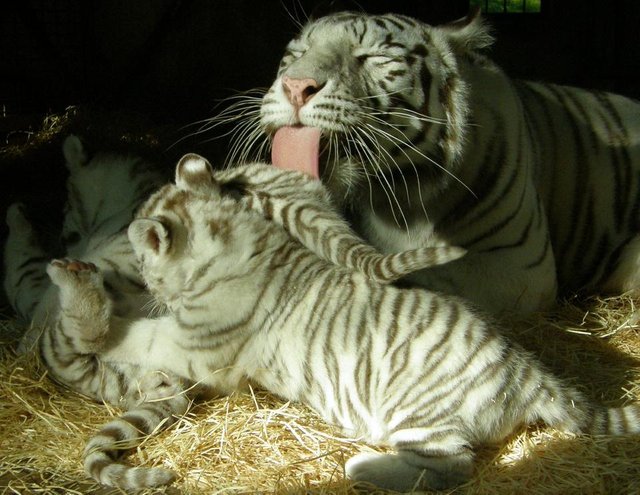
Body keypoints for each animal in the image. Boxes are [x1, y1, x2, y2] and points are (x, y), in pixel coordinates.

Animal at [55, 153, 640, 491]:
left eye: (143, 257)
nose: (148, 283)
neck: (238, 235)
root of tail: (529, 373)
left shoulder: (195, 344)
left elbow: (135, 337)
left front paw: (83, 302)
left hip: (417, 413)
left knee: (453, 466)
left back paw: (362, 468)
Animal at [219, 9, 640, 316]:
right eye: (295, 54)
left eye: (374, 57)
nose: (295, 87)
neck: (380, 191)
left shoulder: (518, 265)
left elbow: (421, 272)